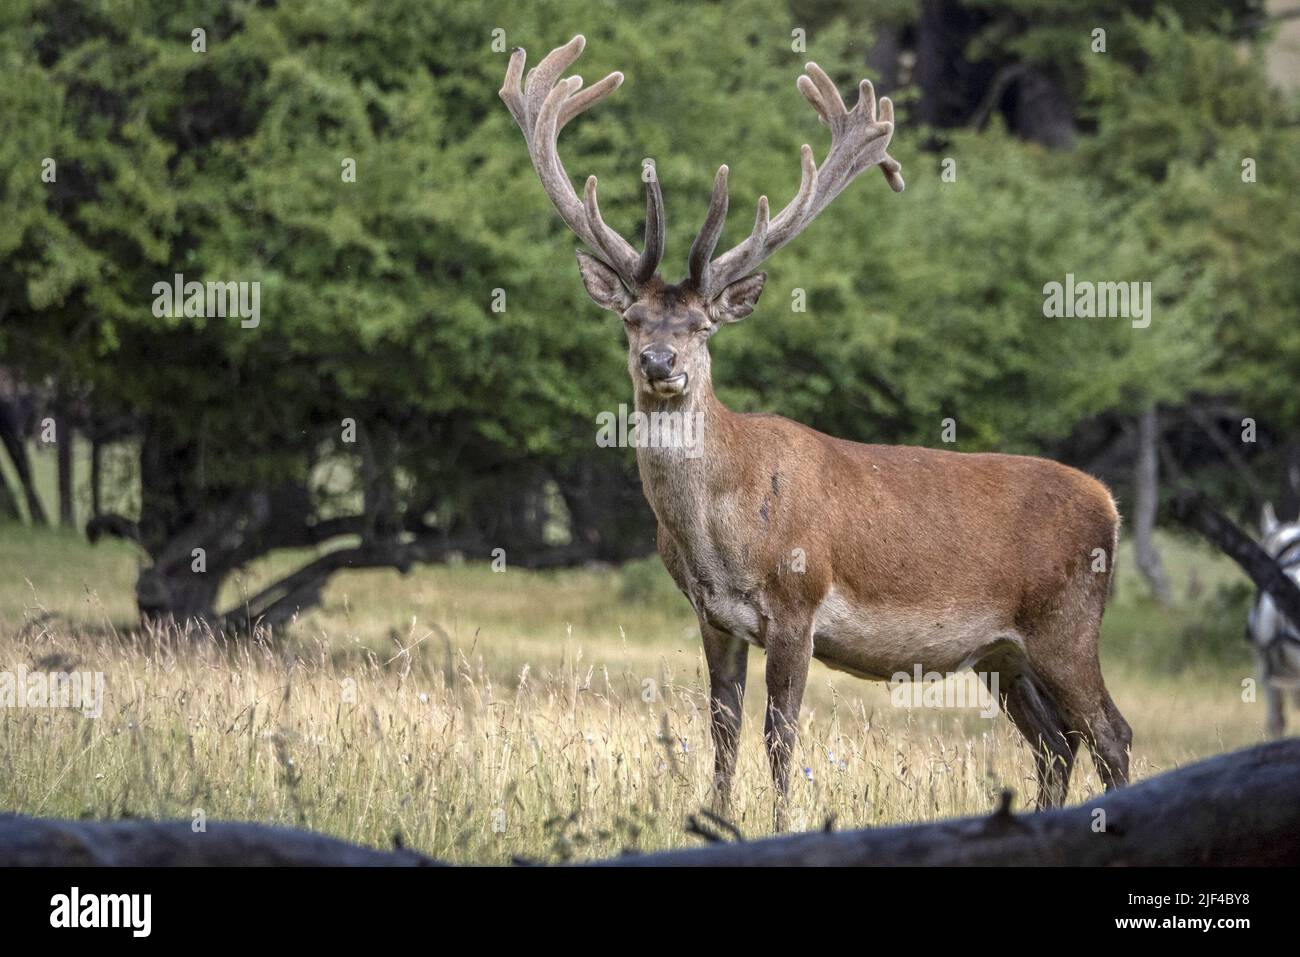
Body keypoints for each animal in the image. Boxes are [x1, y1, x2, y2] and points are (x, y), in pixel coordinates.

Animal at [501, 35, 1131, 824]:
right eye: (632, 319)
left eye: (702, 325)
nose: (660, 364)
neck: (720, 533)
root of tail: (1110, 504)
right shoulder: (714, 616)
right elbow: (723, 730)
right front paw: (714, 816)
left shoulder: (798, 604)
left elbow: (780, 737)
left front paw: (779, 823)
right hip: (1003, 653)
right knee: (1056, 744)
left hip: (1066, 624)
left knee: (1110, 733)